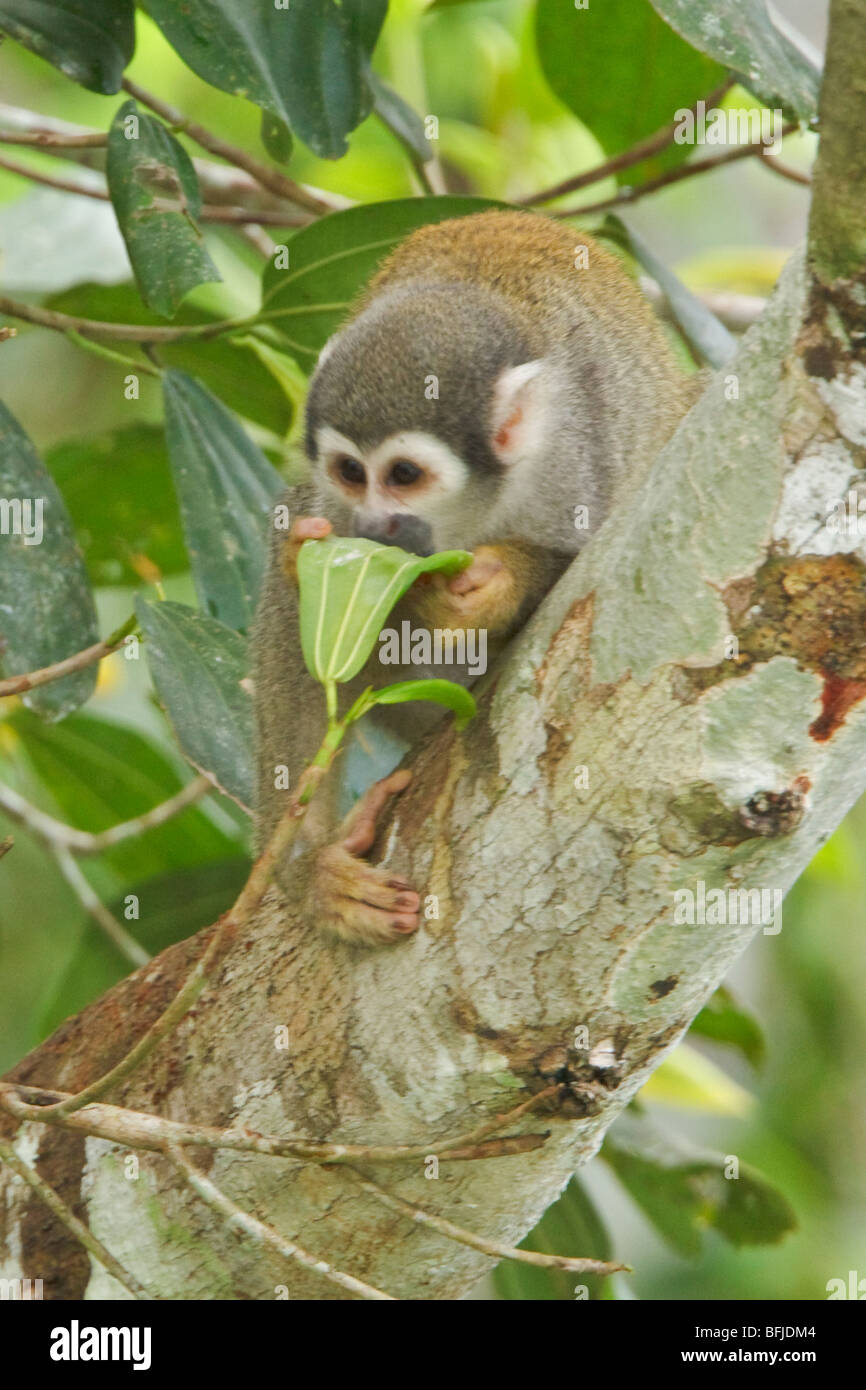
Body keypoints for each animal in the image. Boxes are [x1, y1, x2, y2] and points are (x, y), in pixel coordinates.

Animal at [252, 209, 694, 947]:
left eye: (404, 475)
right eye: (351, 473)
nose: (374, 524)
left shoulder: (571, 461)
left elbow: (587, 565)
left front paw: (495, 583)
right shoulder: (329, 505)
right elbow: (300, 605)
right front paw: (306, 869)